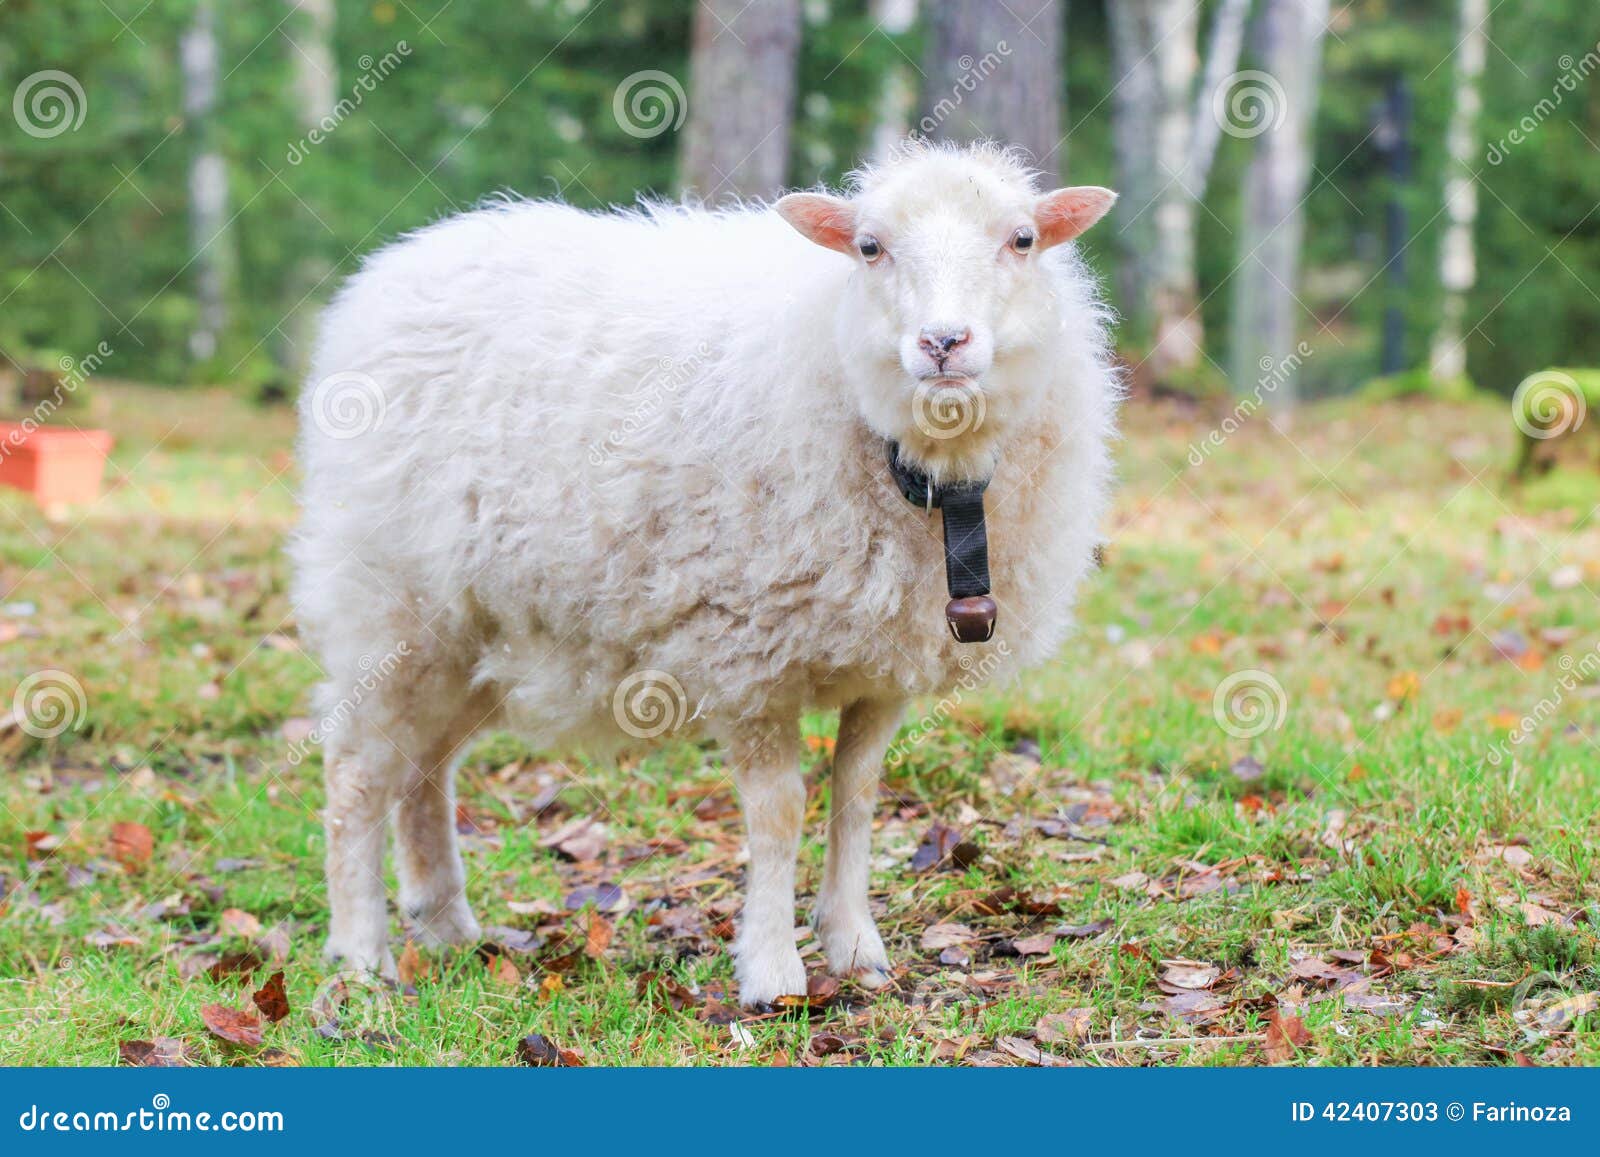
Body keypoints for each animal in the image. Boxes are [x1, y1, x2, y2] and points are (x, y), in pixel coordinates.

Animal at [291, 140, 1120, 1007]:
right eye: (869, 246)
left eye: (1023, 240)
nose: (943, 342)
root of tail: (393, 267)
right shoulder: (746, 652)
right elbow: (780, 812)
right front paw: (773, 970)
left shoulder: (883, 659)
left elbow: (856, 796)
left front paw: (855, 945)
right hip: (387, 601)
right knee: (356, 774)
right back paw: (360, 956)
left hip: (470, 632)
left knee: (423, 768)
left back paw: (447, 926)